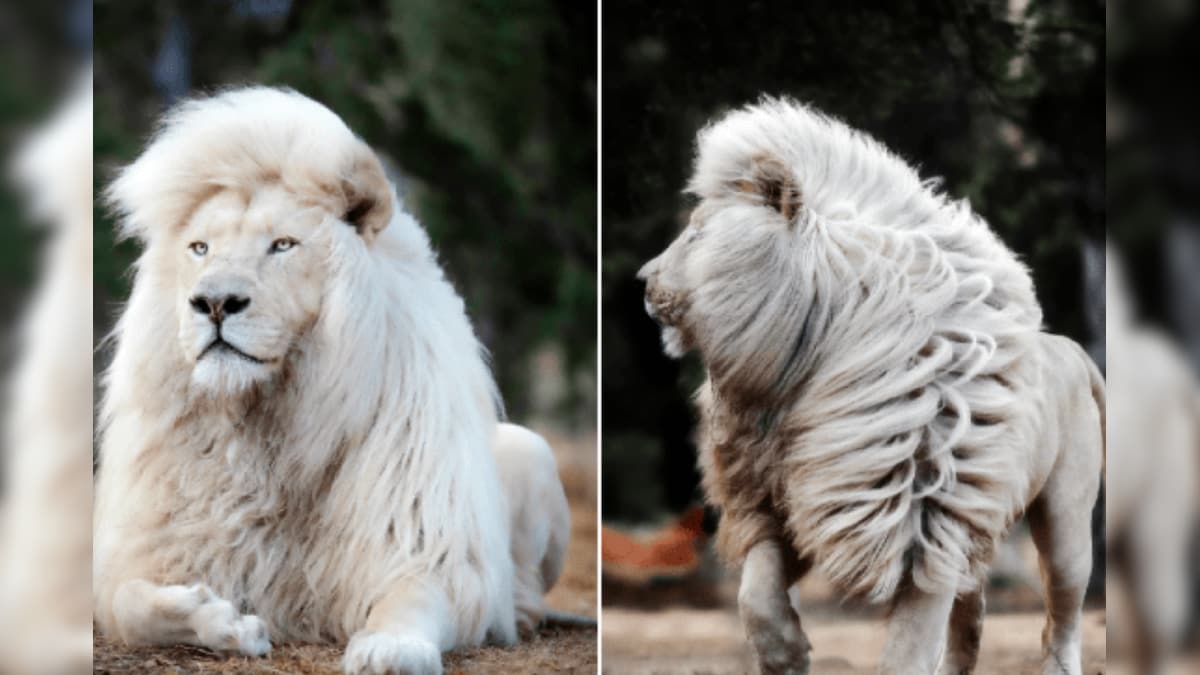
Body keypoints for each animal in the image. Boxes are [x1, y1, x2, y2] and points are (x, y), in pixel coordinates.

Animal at [92, 87, 571, 675]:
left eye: (282, 245)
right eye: (200, 248)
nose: (214, 303)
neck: (267, 425)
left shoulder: (428, 547)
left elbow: (412, 599)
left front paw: (390, 648)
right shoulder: (149, 548)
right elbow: (128, 603)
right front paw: (223, 624)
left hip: (531, 449)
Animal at [638, 99, 1104, 675]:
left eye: (698, 235)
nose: (643, 280)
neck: (801, 374)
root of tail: (1073, 349)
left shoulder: (926, 521)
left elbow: (907, 650)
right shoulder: (783, 503)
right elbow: (755, 596)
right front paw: (786, 656)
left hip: (1064, 524)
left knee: (1060, 618)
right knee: (971, 609)